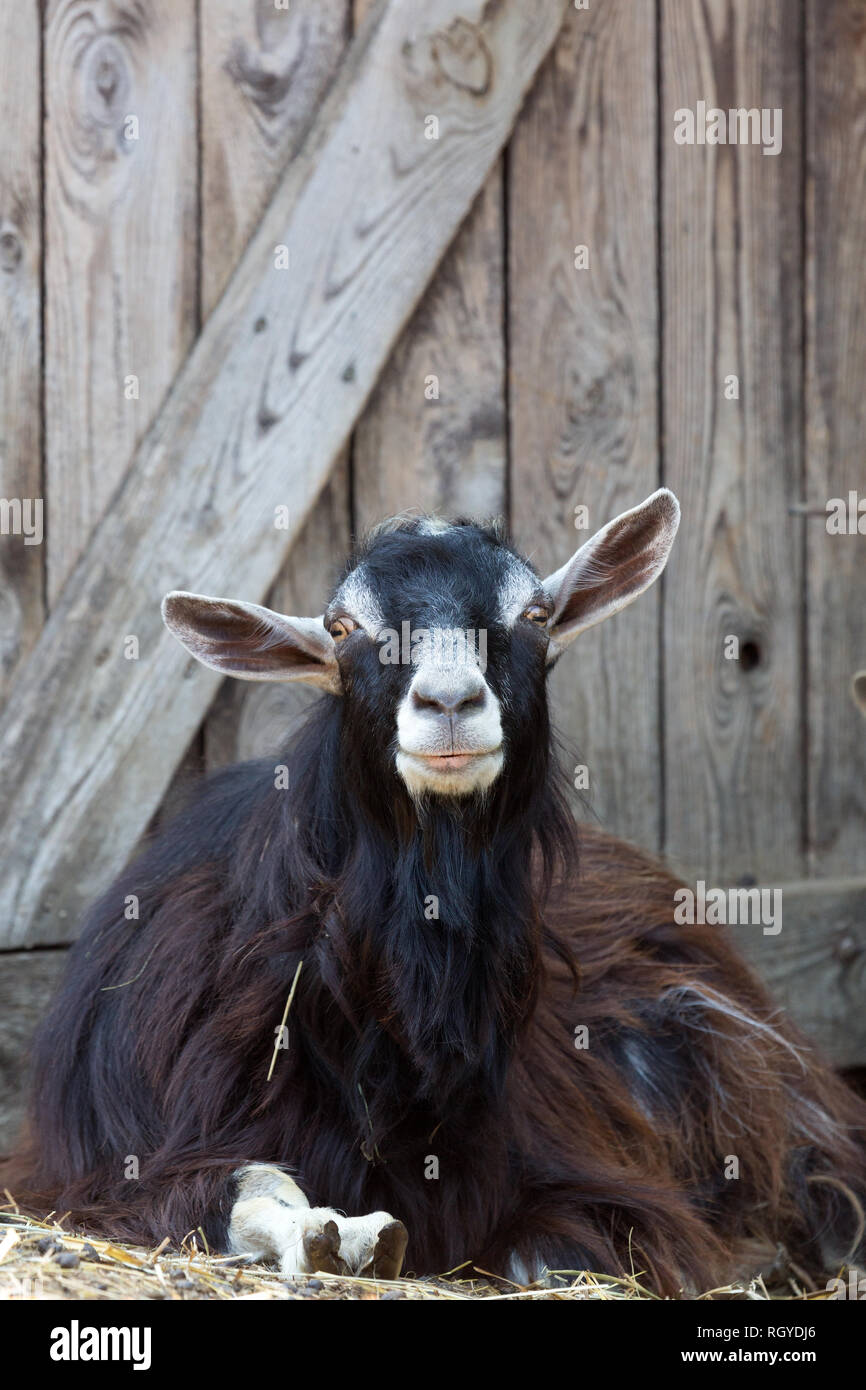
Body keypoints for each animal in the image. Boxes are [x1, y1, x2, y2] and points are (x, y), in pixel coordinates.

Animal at [11, 489, 866, 1292]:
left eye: (534, 614)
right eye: (343, 628)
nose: (450, 703)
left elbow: (553, 1251)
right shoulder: (114, 1166)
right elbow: (234, 1190)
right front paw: (331, 1234)